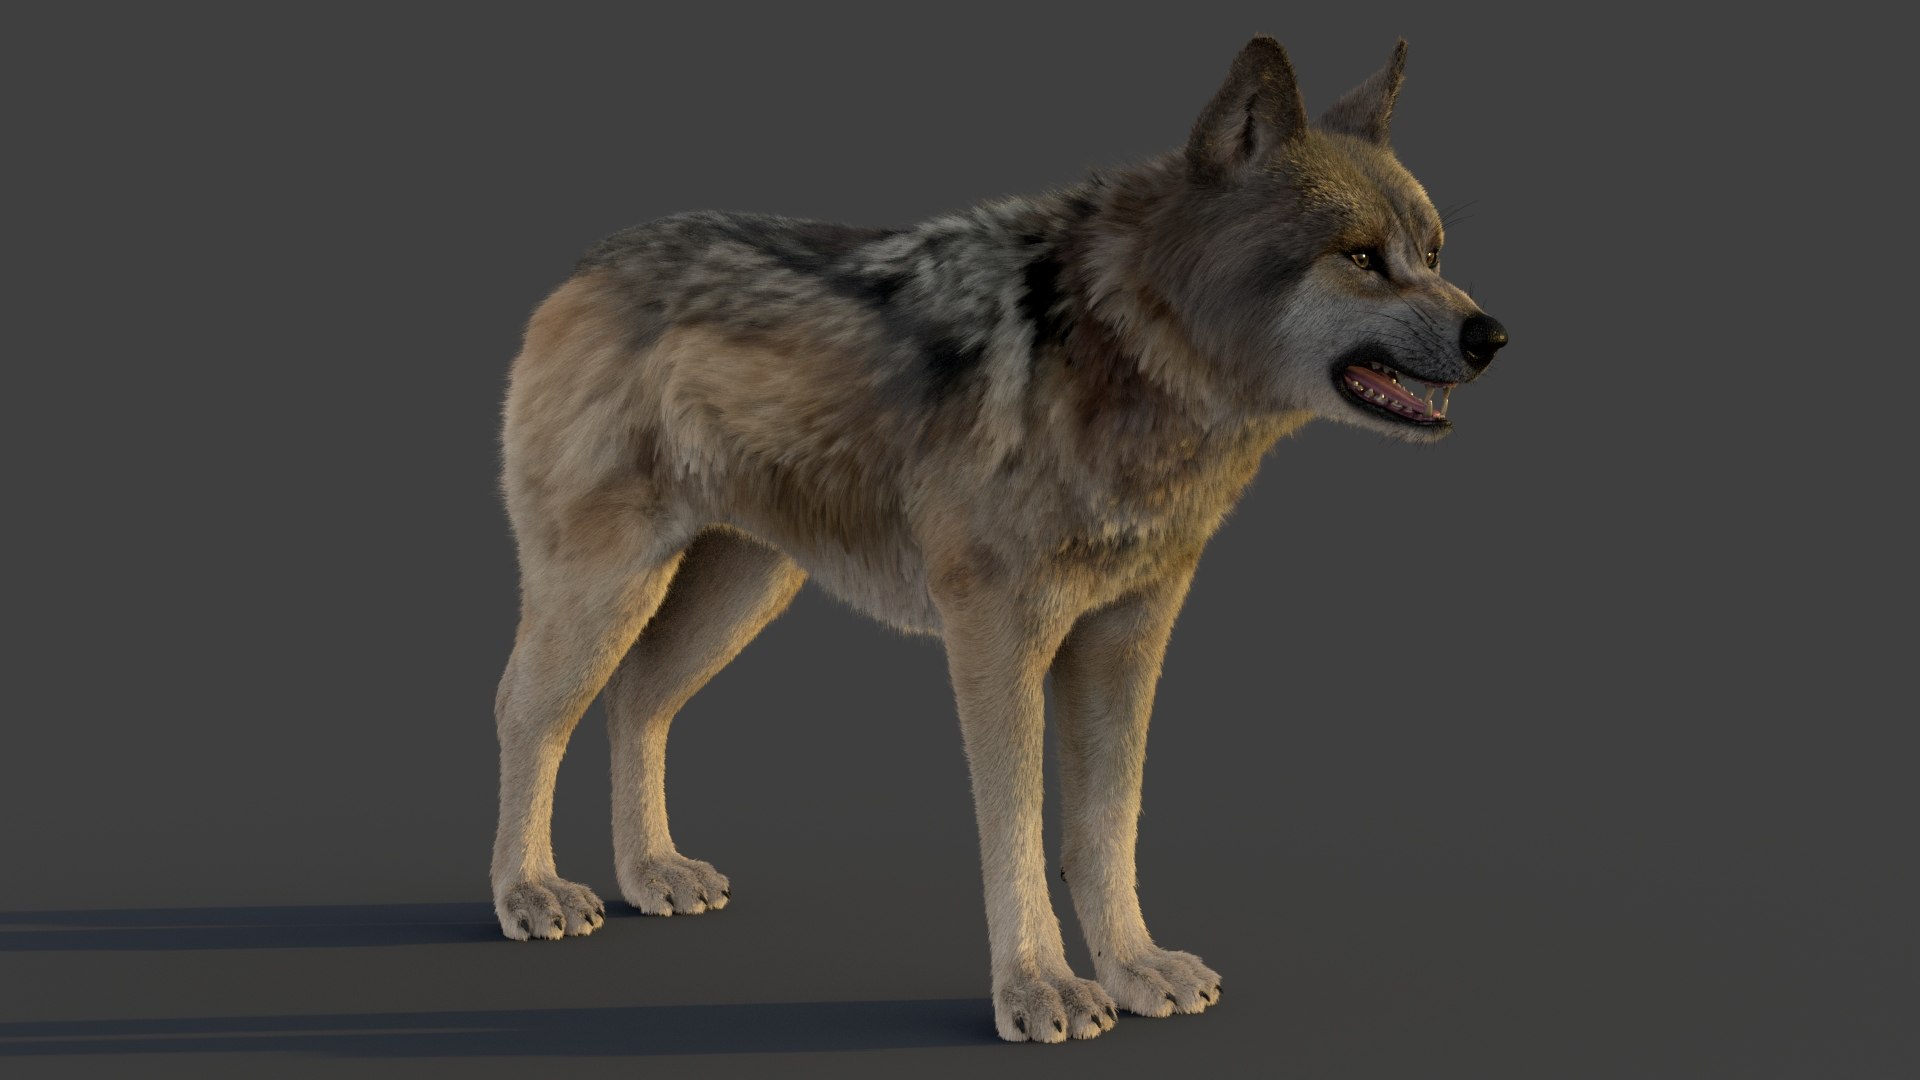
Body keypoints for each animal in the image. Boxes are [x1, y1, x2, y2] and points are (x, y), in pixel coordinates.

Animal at [488, 34, 1508, 1043]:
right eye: (1362, 258)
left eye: (1433, 251)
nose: (1491, 334)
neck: (1131, 353)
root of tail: (585, 264)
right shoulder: (998, 639)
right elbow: (1016, 828)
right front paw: (1039, 989)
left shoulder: (1125, 638)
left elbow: (1107, 825)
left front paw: (1135, 969)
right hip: (608, 592)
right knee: (526, 710)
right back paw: (529, 891)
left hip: (739, 597)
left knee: (636, 700)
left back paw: (651, 875)